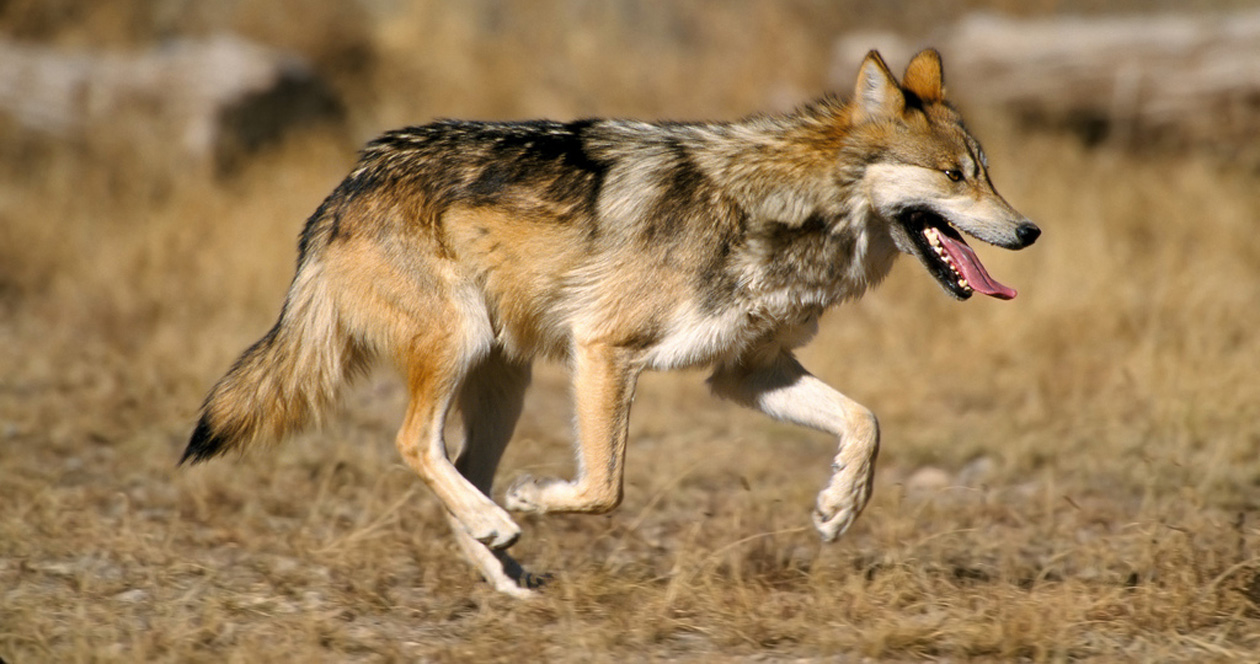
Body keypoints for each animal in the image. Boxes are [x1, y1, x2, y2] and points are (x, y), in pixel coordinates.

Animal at [182, 49, 1039, 596]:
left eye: (988, 173)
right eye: (955, 176)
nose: (1029, 230)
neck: (781, 210)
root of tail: (348, 183)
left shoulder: (746, 373)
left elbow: (866, 422)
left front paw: (839, 507)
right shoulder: (604, 350)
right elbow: (603, 488)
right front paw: (536, 498)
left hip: (505, 382)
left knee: (457, 466)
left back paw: (505, 569)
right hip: (463, 347)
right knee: (415, 445)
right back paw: (503, 522)